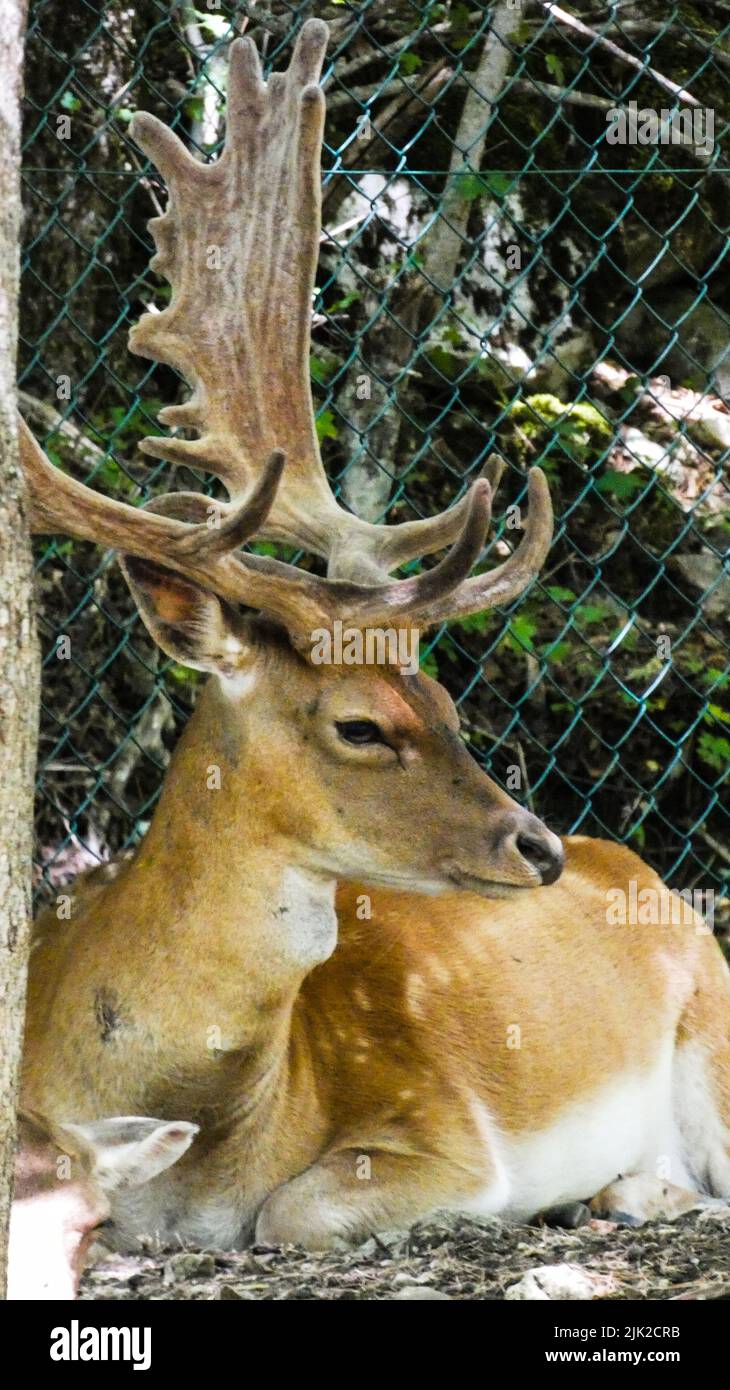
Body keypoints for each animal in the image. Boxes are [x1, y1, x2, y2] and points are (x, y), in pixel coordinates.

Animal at [19, 20, 730, 1253]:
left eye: (446, 702)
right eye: (362, 723)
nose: (538, 847)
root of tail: (644, 870)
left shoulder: (445, 1128)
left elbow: (290, 1211)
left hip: (720, 1023)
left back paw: (629, 1187)